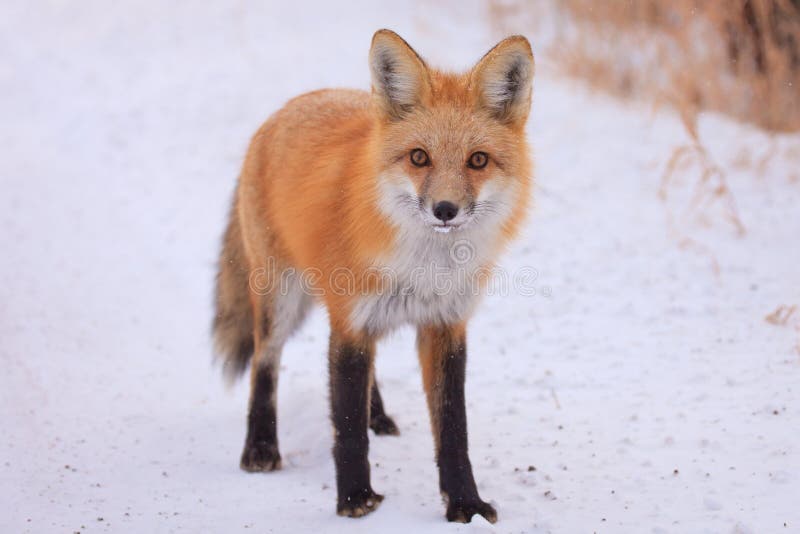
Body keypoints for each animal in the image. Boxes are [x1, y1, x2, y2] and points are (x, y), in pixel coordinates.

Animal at [212, 29, 534, 524]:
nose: (445, 210)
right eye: (419, 157)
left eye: (478, 160)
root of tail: (286, 108)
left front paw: (465, 503)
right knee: (264, 364)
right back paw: (261, 447)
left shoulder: (445, 325)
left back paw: (377, 414)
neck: (425, 269)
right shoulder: (350, 323)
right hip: (280, 298)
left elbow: (453, 431)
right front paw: (355, 500)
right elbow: (346, 429)